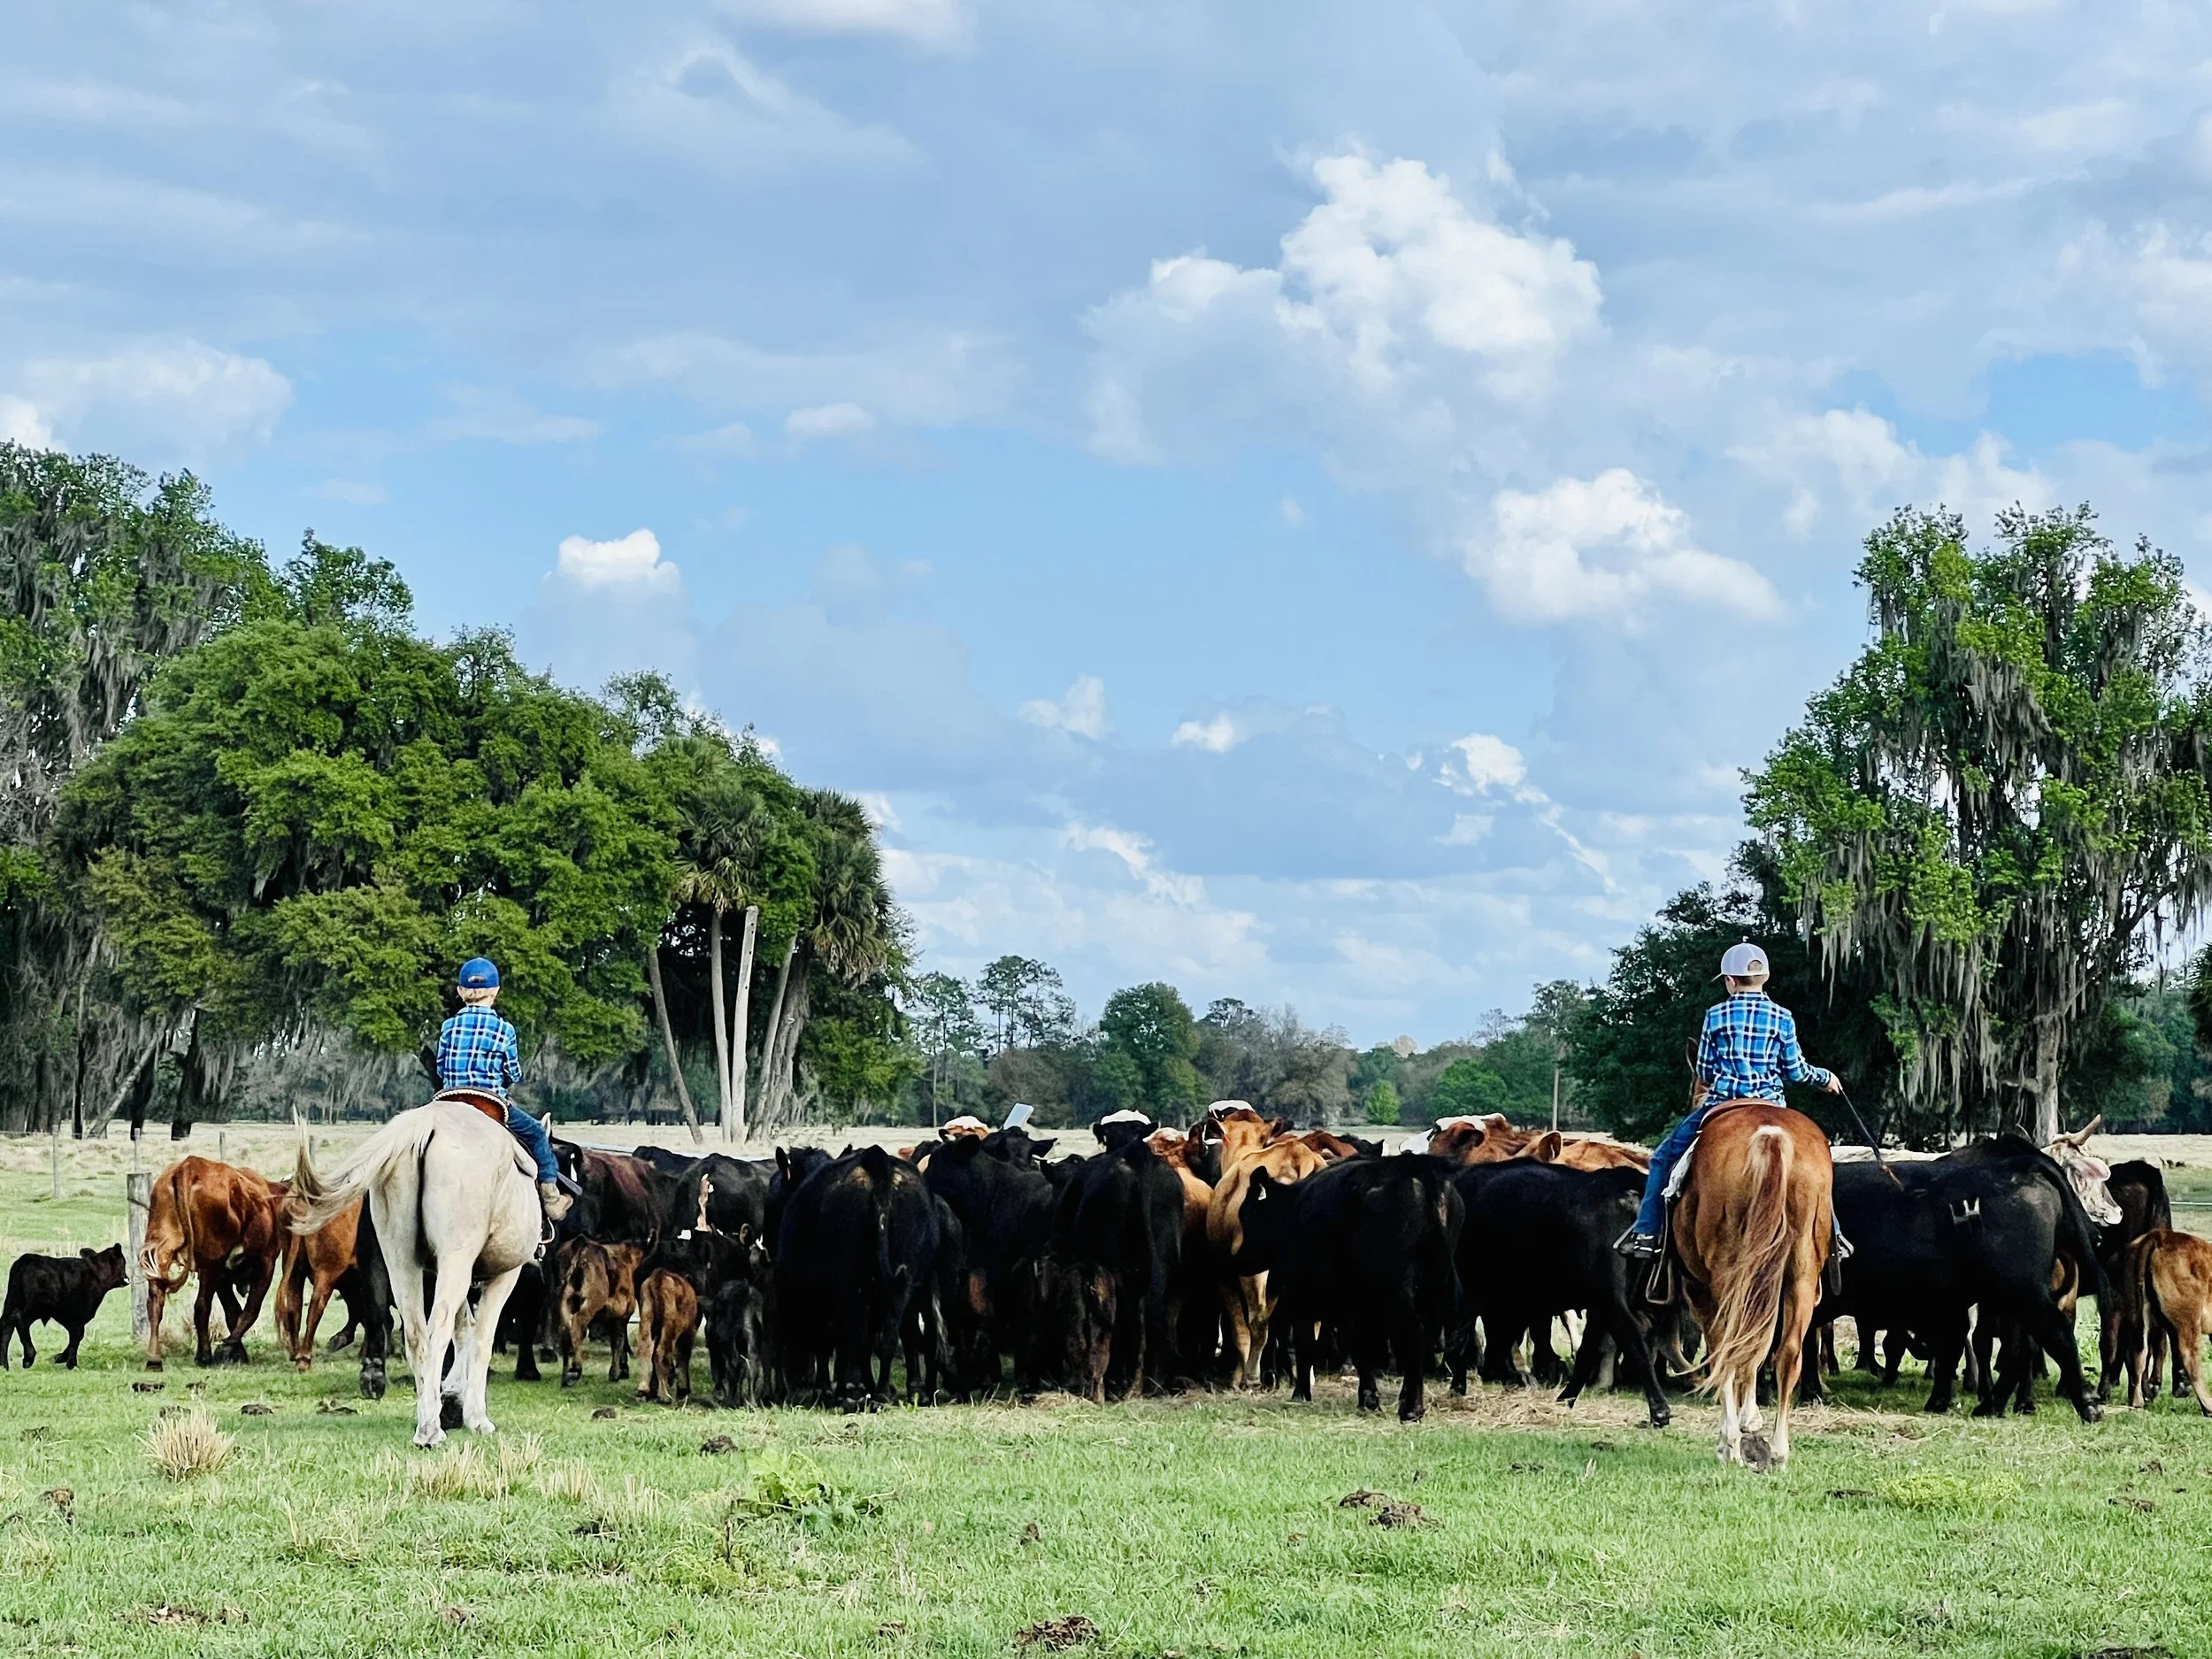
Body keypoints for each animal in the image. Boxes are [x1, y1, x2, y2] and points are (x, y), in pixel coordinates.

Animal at [0, 1245, 129, 1369]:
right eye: (123, 1263)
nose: (127, 1278)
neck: (95, 1275)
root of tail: (25, 1260)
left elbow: (77, 1336)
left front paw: (60, 1357)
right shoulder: (76, 1315)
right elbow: (77, 1336)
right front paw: (71, 1363)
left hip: (11, 1304)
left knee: (6, 1328)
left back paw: (4, 1365)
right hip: (33, 1306)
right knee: (20, 1322)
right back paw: (28, 1358)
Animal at [140, 1156, 290, 1370]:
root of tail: (190, 1165)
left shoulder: (223, 1275)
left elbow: (233, 1311)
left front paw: (237, 1351)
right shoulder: (265, 1263)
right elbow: (250, 1310)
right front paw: (229, 1348)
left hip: (162, 1248)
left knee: (156, 1300)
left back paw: (154, 1358)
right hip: (210, 1263)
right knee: (202, 1306)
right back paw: (204, 1355)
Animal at [557, 1240, 644, 1386]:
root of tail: (581, 1243)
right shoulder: (622, 1313)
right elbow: (619, 1340)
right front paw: (616, 1373)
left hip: (565, 1299)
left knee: (565, 1329)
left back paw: (565, 1376)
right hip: (592, 1299)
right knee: (578, 1325)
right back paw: (575, 1368)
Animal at [1231, 1154, 1464, 1421]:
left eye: (1245, 1215)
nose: (1237, 1258)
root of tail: (1413, 1164)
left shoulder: (1305, 1298)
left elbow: (1308, 1345)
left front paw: (1302, 1394)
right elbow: (1360, 1346)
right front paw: (1368, 1399)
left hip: (1397, 1290)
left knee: (1412, 1333)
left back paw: (1411, 1409)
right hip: (1433, 1286)